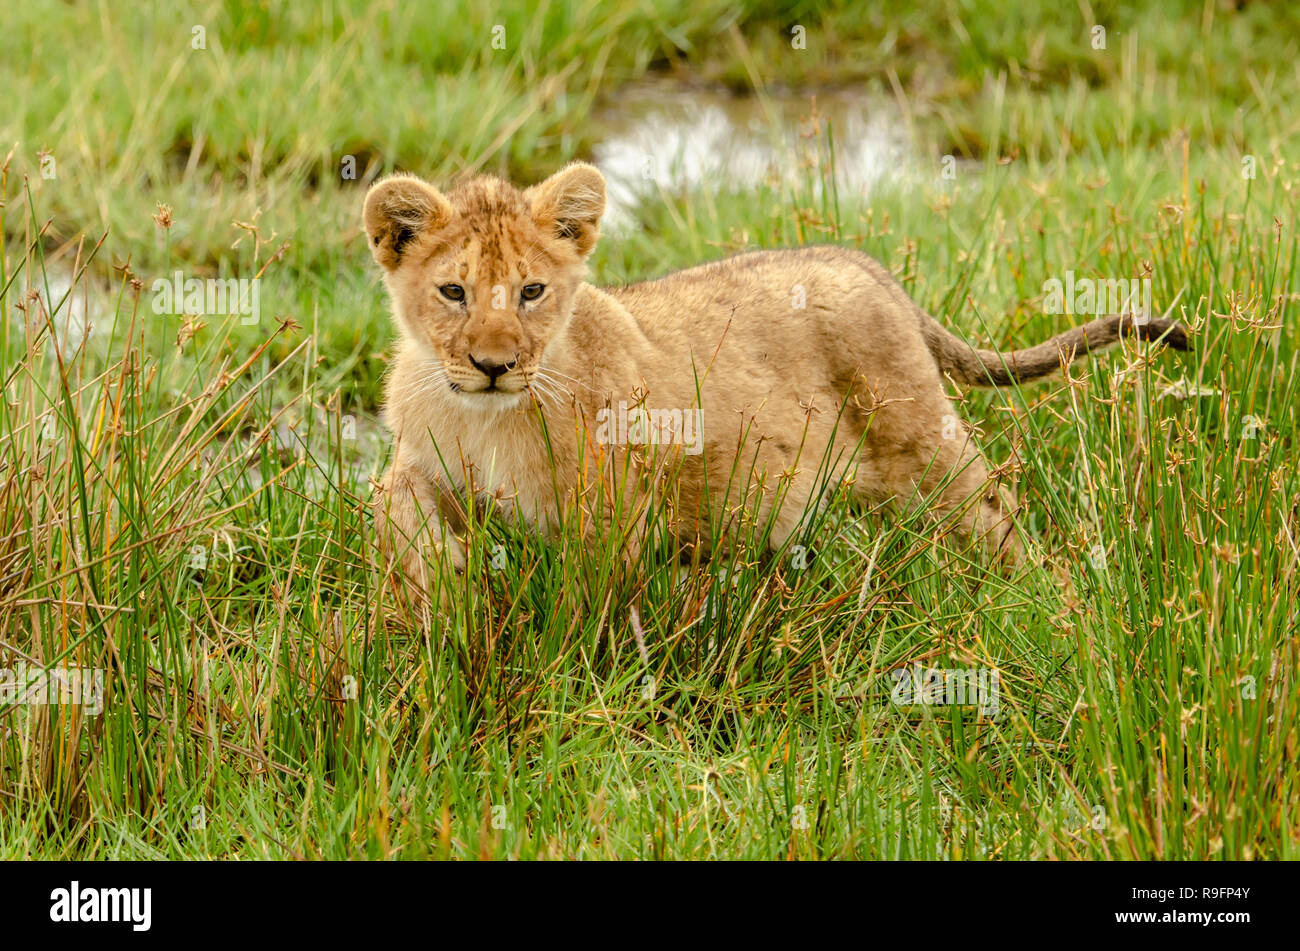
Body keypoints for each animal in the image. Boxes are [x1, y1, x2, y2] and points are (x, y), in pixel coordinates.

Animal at [362, 162, 1188, 598]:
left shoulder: (614, 513)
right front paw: (438, 577)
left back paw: (1051, 606)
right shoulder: (427, 459)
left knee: (1000, 520)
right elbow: (391, 494)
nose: (493, 365)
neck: (483, 417)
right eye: (454, 292)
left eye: (532, 291)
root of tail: (866, 267)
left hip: (929, 451)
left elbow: (592, 611)